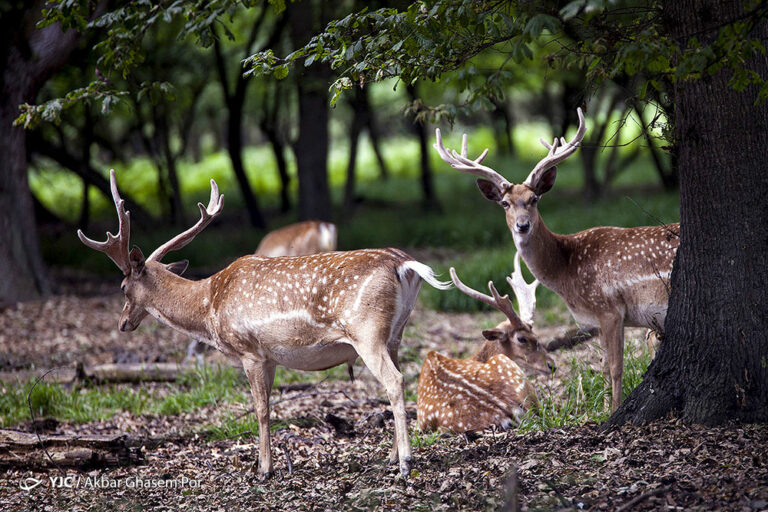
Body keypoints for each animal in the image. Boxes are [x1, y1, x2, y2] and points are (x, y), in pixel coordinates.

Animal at [78, 170, 451, 479]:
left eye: (122, 287)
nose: (123, 323)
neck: (209, 306)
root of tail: (405, 265)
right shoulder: (270, 357)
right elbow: (268, 407)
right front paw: (264, 465)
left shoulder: (250, 351)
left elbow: (260, 410)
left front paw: (263, 470)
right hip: (396, 333)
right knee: (401, 376)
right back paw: (391, 456)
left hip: (367, 332)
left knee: (395, 380)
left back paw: (405, 464)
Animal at [433, 107, 679, 411]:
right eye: (505, 203)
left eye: (534, 198)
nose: (522, 225)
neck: (566, 271)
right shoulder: (604, 317)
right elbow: (607, 364)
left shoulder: (609, 308)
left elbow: (615, 367)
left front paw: (612, 411)